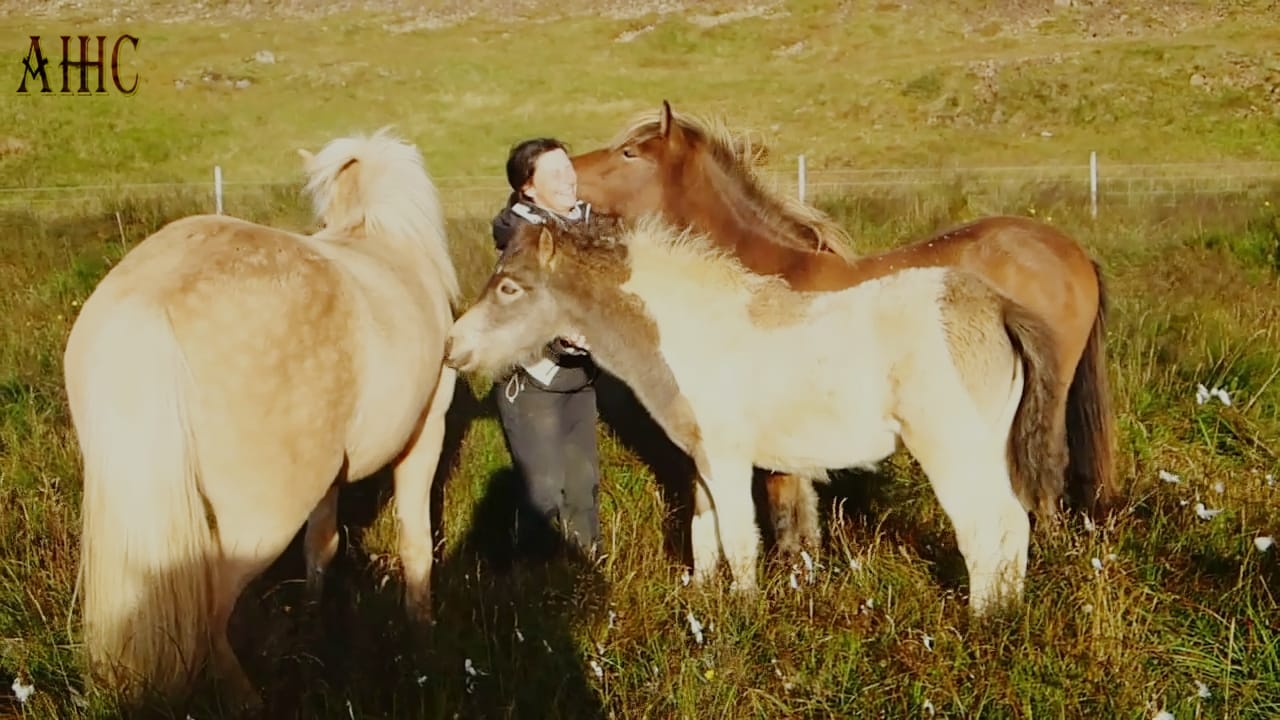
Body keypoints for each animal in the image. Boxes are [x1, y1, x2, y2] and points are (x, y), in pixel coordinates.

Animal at [63, 128, 460, 712]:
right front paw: (424, 635)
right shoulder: (425, 434)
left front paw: (314, 619)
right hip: (258, 522)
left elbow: (323, 545)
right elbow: (415, 541)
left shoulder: (328, 474)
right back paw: (250, 699)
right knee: (212, 613)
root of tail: (148, 299)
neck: (382, 240)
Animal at [442, 214, 1067, 616]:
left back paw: (981, 621)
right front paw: (703, 605)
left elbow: (740, 540)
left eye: (510, 287)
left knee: (985, 526)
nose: (452, 347)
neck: (688, 327)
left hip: (952, 450)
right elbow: (704, 536)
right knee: (1014, 522)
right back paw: (1008, 613)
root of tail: (994, 305)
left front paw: (743, 616)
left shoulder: (727, 458)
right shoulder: (700, 461)